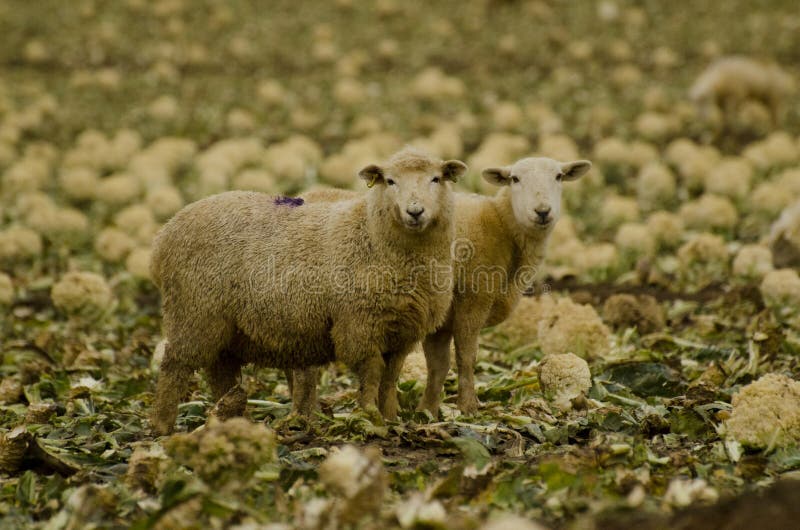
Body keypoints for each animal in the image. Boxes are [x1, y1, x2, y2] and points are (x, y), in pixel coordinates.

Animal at [149, 147, 466, 434]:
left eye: (436, 179)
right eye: (390, 181)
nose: (415, 211)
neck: (371, 233)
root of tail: (162, 237)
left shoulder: (402, 333)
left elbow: (390, 378)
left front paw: (390, 418)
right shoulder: (359, 326)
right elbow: (371, 374)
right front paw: (369, 418)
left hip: (225, 329)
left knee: (221, 374)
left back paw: (233, 420)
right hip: (194, 313)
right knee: (173, 366)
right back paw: (163, 425)